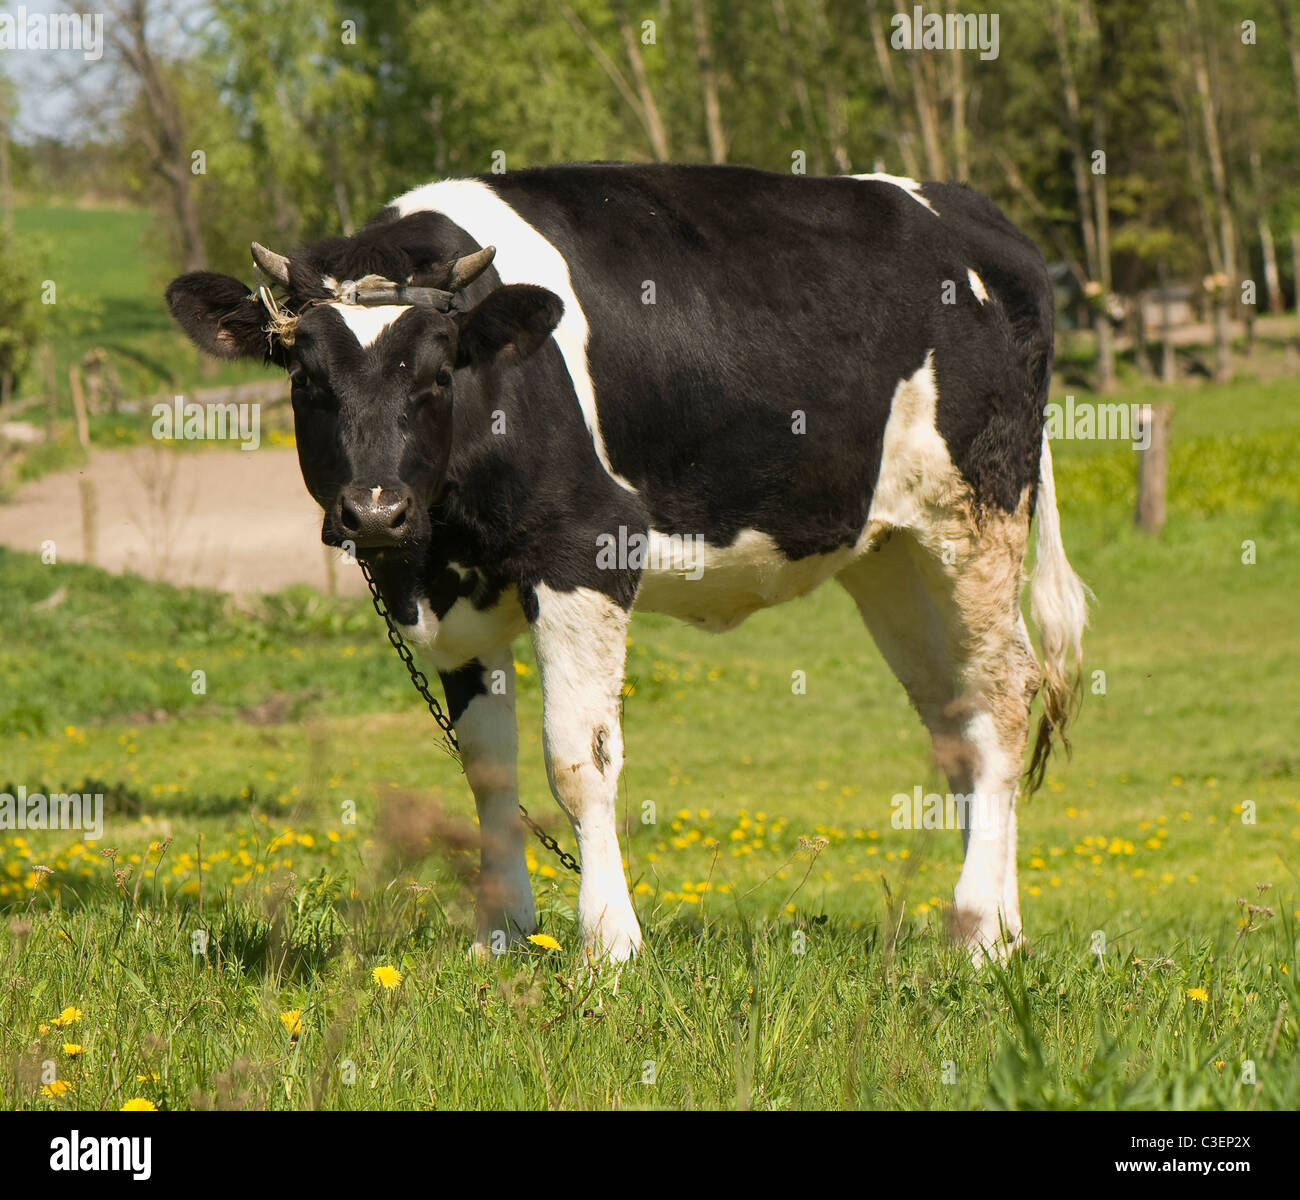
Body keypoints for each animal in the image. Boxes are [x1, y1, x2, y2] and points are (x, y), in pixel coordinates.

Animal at [166, 163, 1088, 965]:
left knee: (1005, 693)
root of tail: (976, 212)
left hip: (972, 516)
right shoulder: (454, 596)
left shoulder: (586, 549)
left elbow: (577, 759)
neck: (434, 550)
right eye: (305, 378)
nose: (376, 510)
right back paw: (1002, 925)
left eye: (436, 374)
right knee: (957, 716)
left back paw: (977, 929)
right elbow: (487, 767)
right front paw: (500, 935)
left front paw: (609, 941)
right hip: (891, 552)